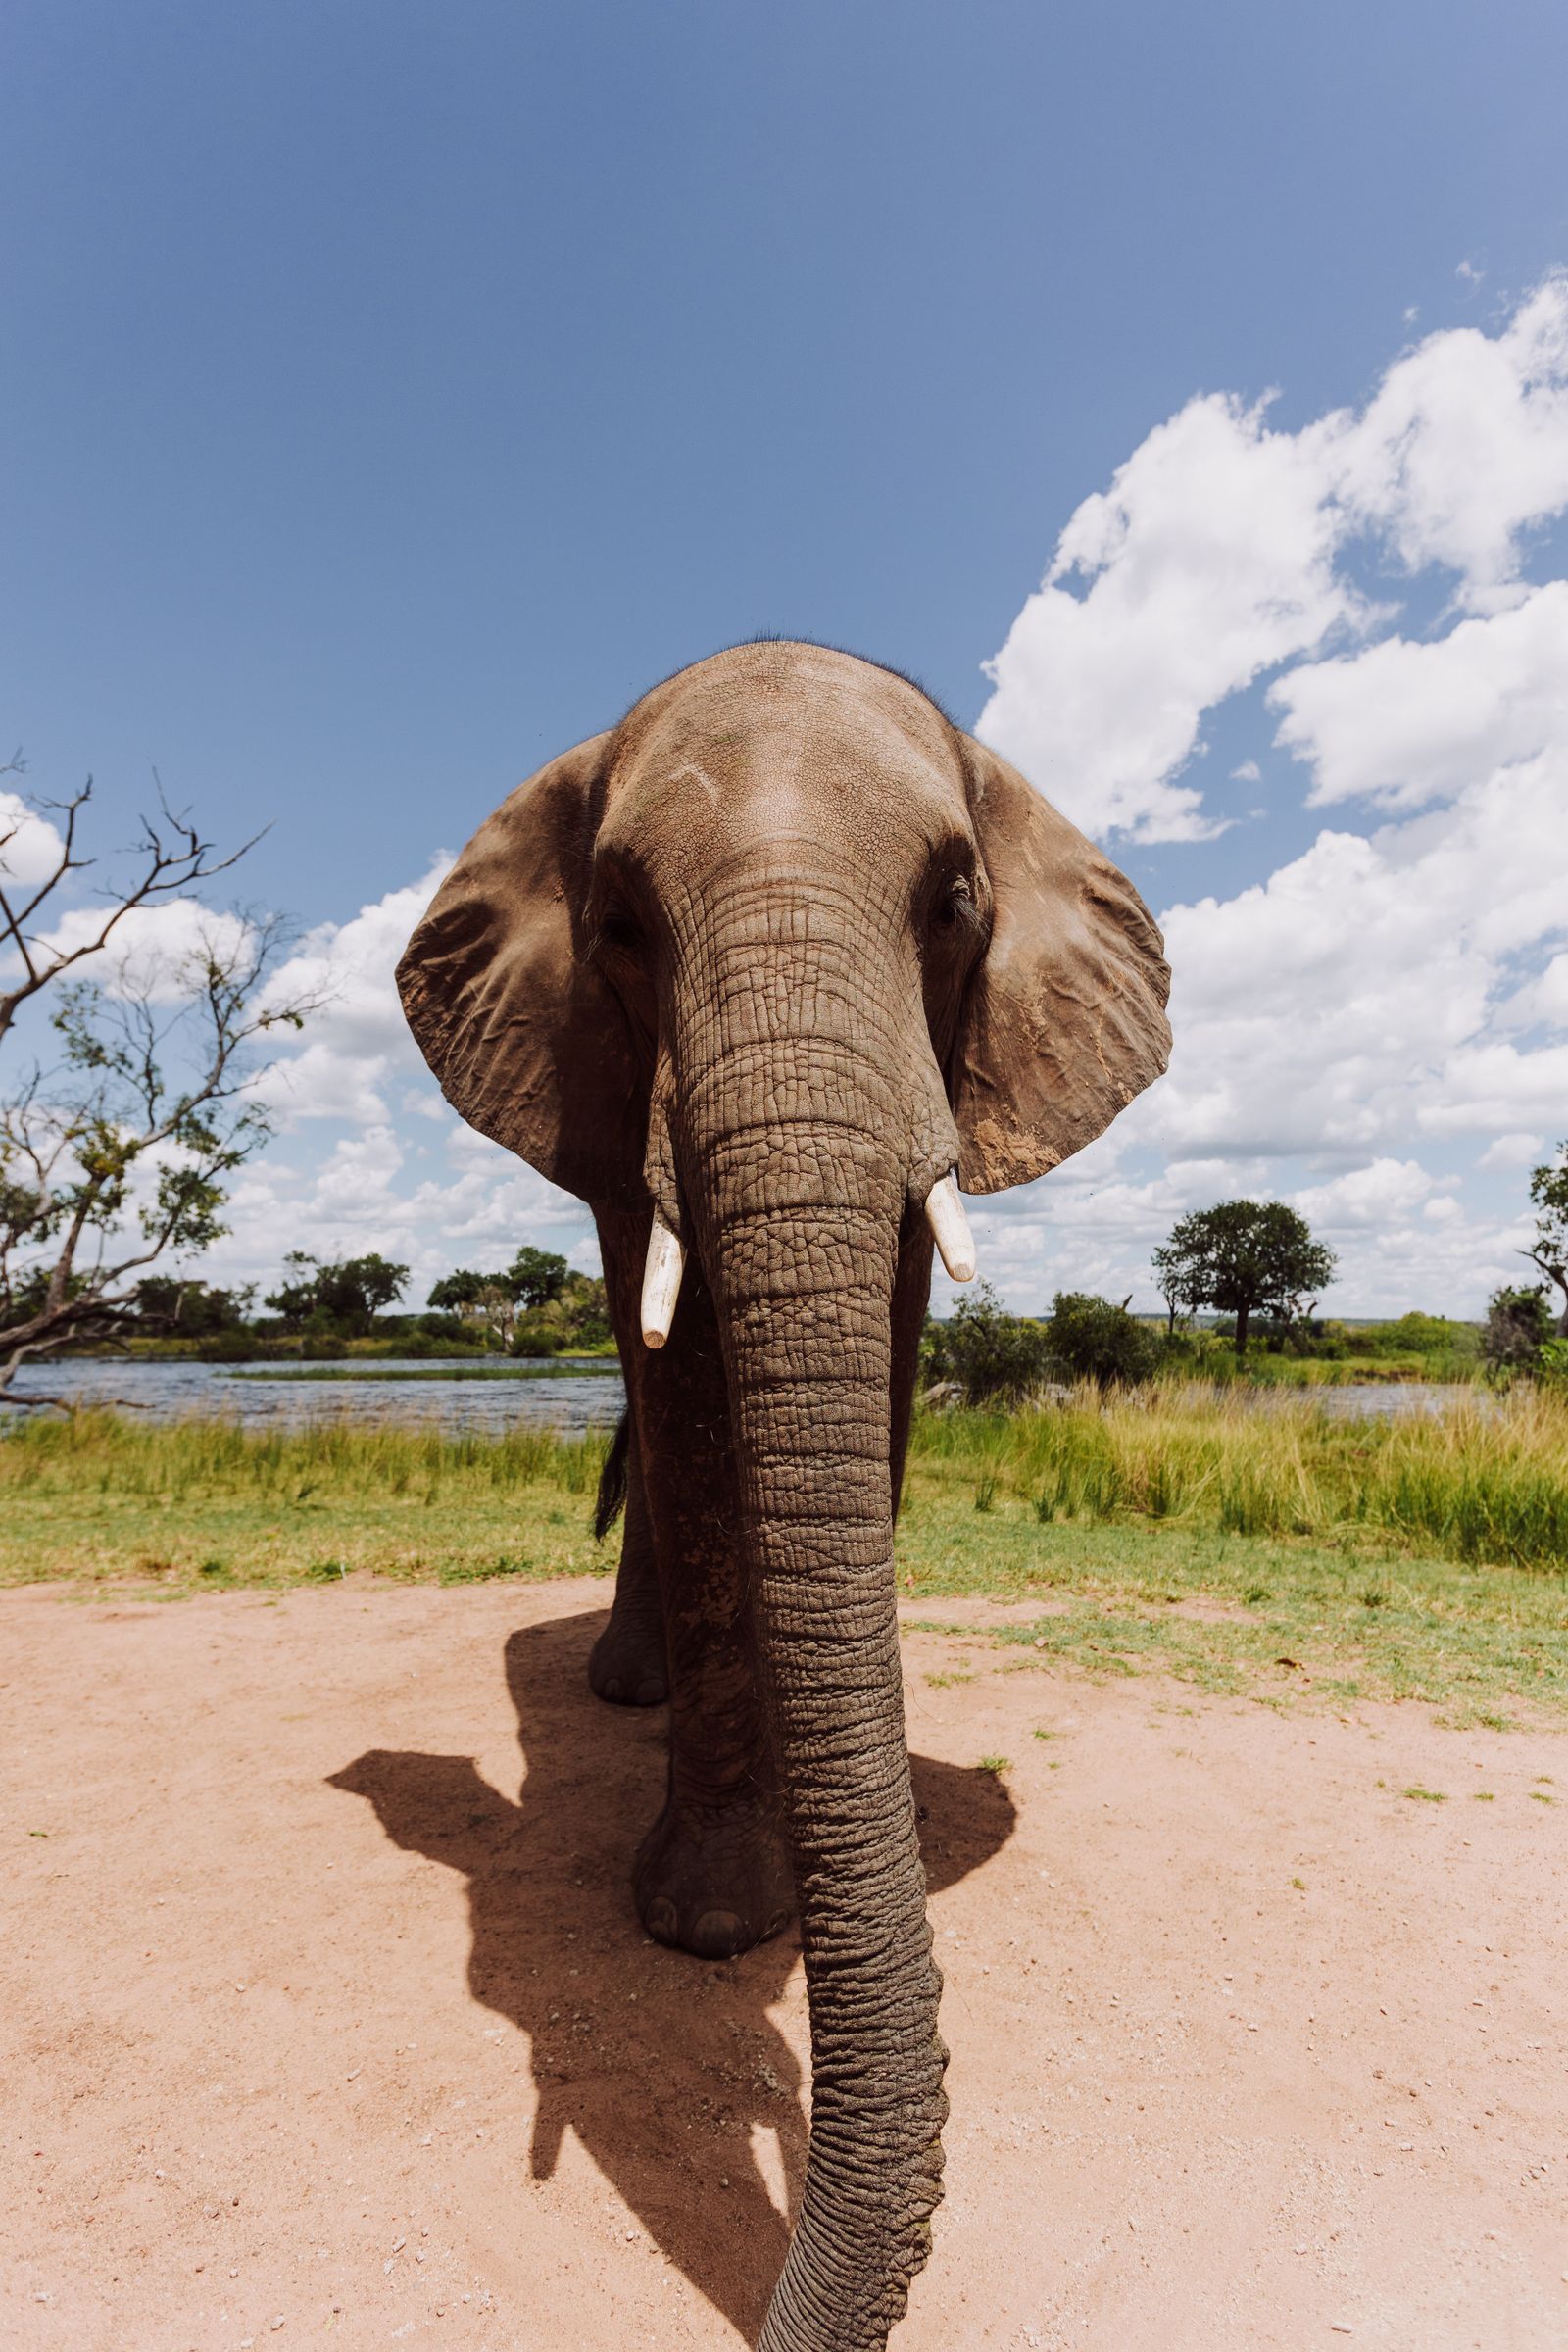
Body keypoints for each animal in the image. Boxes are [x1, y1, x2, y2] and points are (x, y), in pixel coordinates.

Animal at [395, 640, 1171, 2351]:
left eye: (953, 901)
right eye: (619, 924)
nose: (769, 2320)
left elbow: (874, 1367)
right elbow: (685, 1400)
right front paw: (708, 1925)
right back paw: (625, 1687)